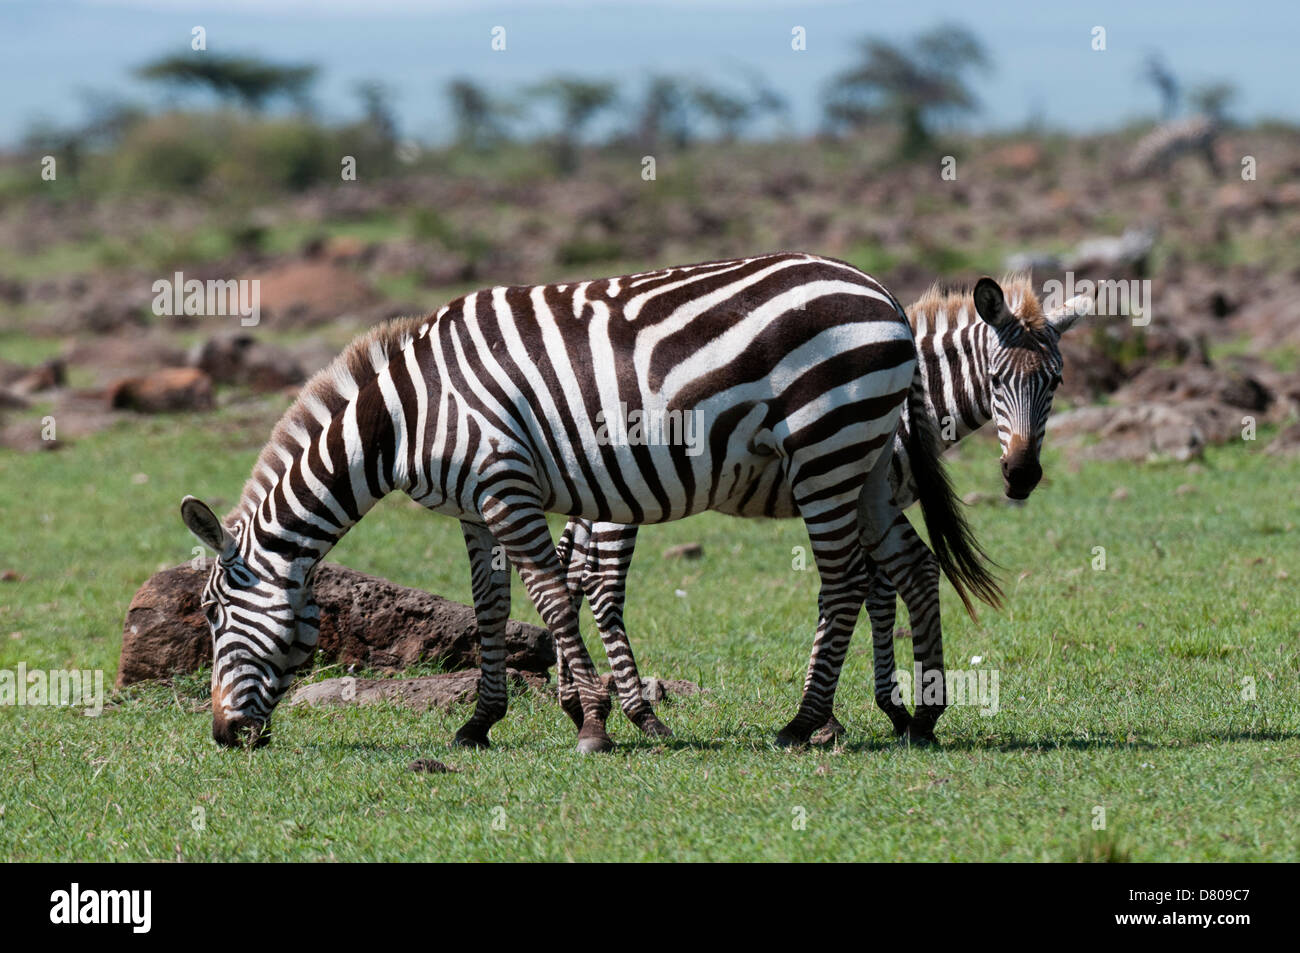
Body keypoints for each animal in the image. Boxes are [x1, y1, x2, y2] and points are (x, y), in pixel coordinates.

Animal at [179, 252, 1000, 753]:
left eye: (214, 615)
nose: (221, 733)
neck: (405, 418)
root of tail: (883, 293)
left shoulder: (505, 483)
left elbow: (549, 595)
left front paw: (592, 722)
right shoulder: (476, 505)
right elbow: (489, 606)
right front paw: (481, 720)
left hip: (825, 446)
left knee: (843, 580)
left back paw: (803, 722)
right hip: (864, 459)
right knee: (910, 567)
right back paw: (921, 715)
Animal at [555, 275, 1092, 741]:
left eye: (1056, 382)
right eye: (996, 379)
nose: (1021, 475)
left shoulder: (864, 501)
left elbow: (870, 591)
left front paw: (867, 710)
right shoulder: (851, 493)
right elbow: (872, 594)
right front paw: (871, 711)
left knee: (573, 571)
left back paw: (579, 705)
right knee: (603, 586)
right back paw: (640, 713)